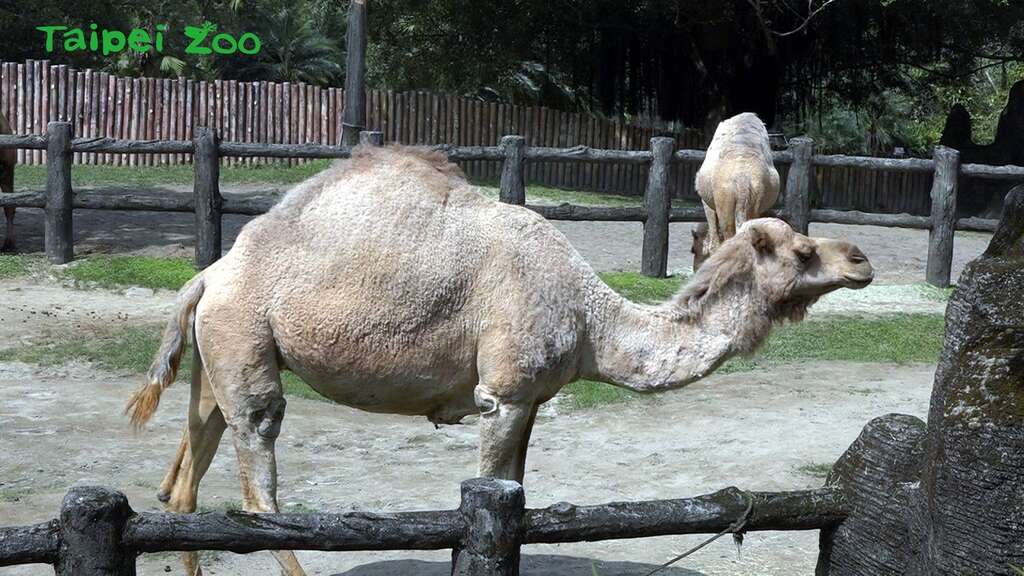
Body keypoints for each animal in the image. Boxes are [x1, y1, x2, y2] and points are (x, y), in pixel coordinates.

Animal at [126, 146, 873, 576]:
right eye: (803, 251)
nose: (861, 259)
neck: (589, 319)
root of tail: (208, 275)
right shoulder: (504, 393)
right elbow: (489, 491)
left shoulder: (535, 399)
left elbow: (520, 492)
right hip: (247, 347)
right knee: (259, 484)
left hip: (224, 352)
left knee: (190, 477)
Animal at [694, 112, 780, 269]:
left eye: (694, 250)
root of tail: (742, 179)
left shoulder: (706, 203)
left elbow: (714, 241)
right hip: (756, 195)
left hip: (724, 198)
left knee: (727, 236)